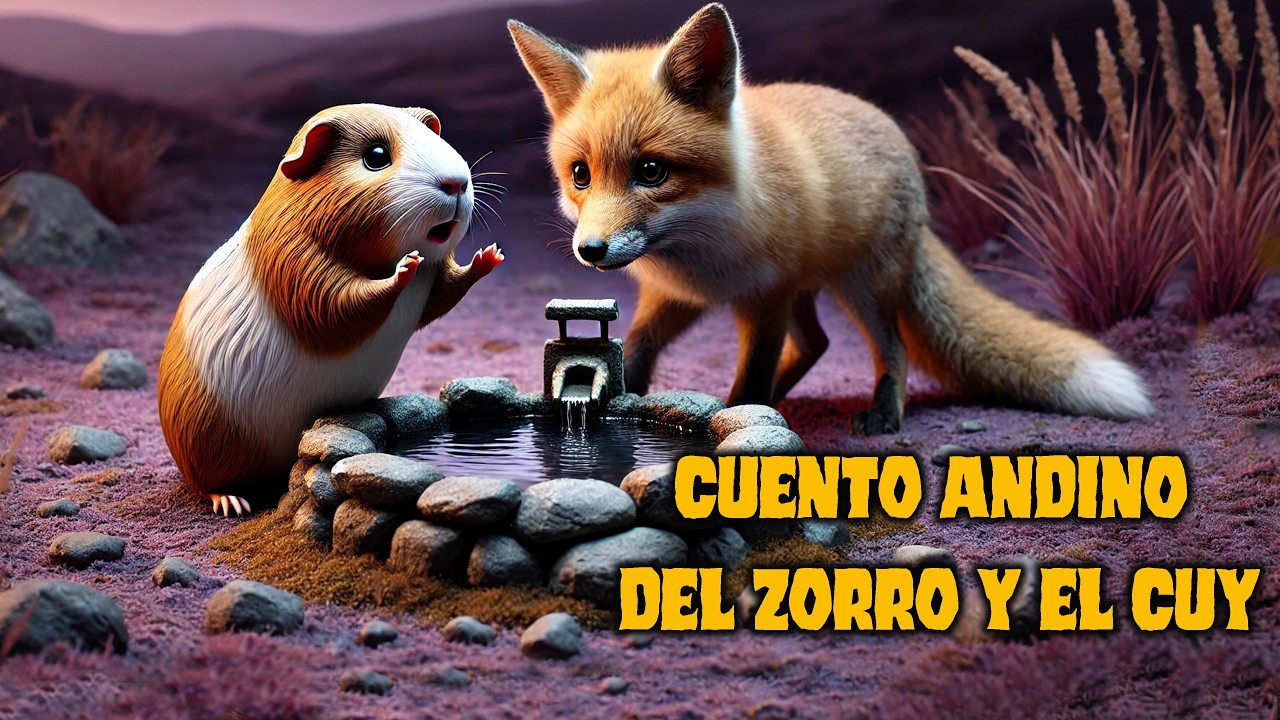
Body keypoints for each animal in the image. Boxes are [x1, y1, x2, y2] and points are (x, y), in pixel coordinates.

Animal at [507, 3, 1153, 434]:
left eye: (650, 170)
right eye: (581, 175)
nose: (590, 251)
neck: (703, 248)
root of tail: (897, 135)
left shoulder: (763, 299)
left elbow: (752, 376)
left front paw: (739, 415)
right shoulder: (676, 296)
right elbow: (636, 352)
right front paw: (621, 401)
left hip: (863, 287)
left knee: (891, 346)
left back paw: (880, 412)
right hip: (808, 291)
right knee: (816, 343)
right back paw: (785, 400)